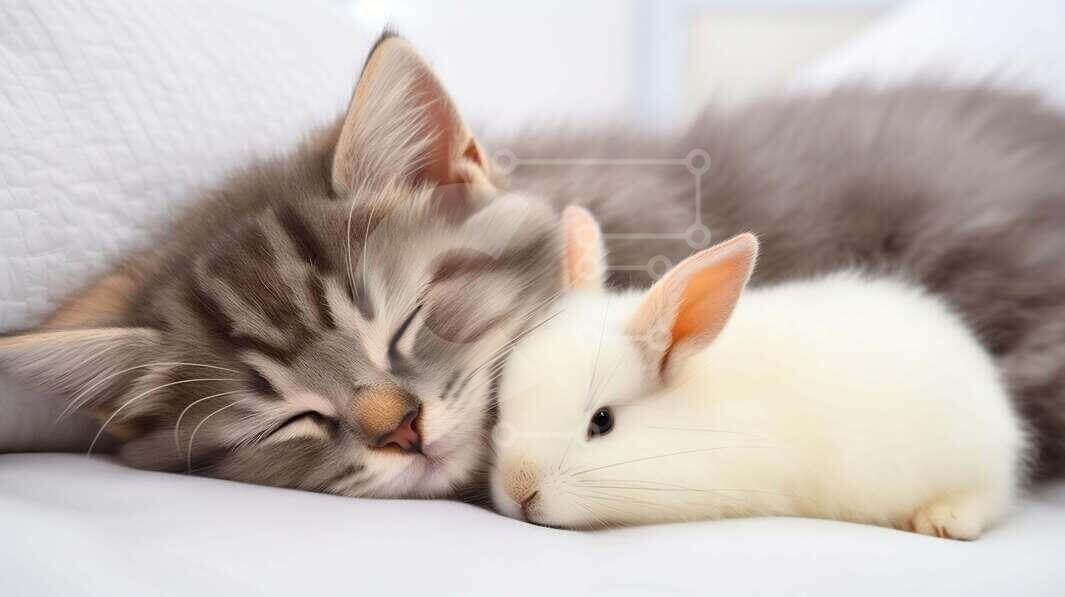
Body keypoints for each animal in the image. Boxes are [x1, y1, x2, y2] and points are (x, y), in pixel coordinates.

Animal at [490, 206, 1029, 539]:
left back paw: (944, 521)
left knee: (991, 496)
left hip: (970, 460)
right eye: (500, 406)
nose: (519, 489)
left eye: (602, 422)